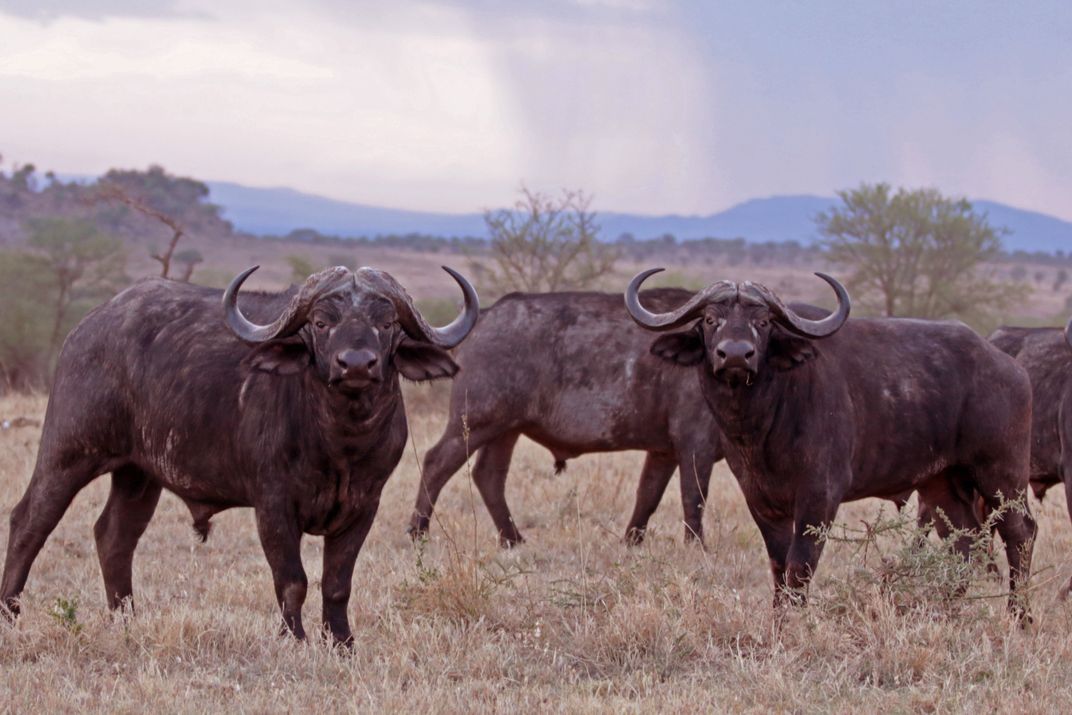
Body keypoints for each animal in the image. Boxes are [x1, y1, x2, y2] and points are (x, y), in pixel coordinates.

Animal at [1, 265, 478, 645]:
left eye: (387, 322)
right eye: (321, 322)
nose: (357, 364)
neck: (340, 443)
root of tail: (87, 329)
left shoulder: (364, 505)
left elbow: (337, 583)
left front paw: (342, 642)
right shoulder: (273, 505)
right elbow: (293, 580)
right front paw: (295, 638)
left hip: (139, 475)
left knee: (114, 536)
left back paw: (125, 620)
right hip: (68, 452)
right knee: (30, 522)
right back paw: (10, 612)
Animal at [408, 289, 724, 547]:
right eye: (711, 320)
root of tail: (485, 316)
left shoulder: (663, 452)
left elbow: (648, 494)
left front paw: (632, 541)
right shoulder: (695, 444)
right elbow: (693, 495)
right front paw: (696, 546)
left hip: (505, 430)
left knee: (488, 474)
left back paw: (512, 538)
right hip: (475, 422)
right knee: (436, 462)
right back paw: (418, 532)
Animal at [625, 270, 1036, 614]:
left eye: (763, 322)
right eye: (711, 320)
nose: (736, 354)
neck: (762, 423)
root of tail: (1010, 367)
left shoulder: (819, 496)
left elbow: (800, 564)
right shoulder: (759, 499)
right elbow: (778, 564)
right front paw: (779, 618)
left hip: (1002, 473)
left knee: (1020, 533)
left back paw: (1019, 616)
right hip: (941, 484)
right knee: (963, 543)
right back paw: (946, 610)